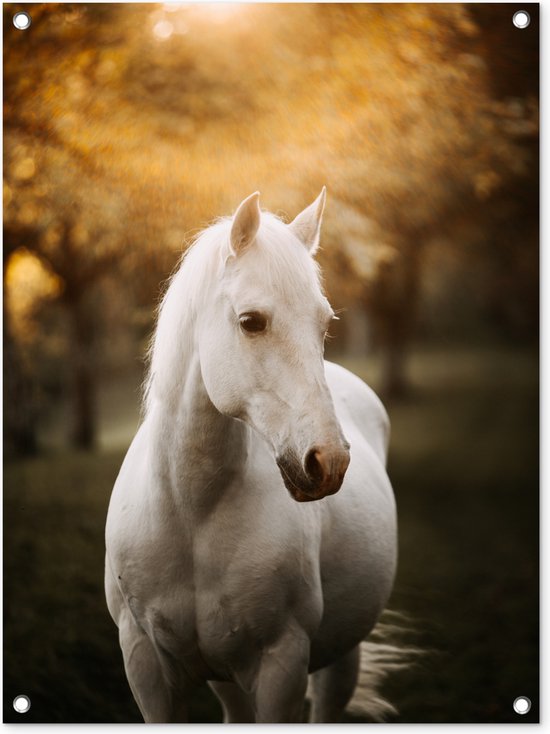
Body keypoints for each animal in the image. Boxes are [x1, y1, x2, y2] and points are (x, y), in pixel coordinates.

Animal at [105, 189, 398, 723]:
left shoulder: (281, 665)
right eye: (251, 322)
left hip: (340, 658)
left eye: (324, 323)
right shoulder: (144, 663)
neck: (191, 511)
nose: (329, 461)